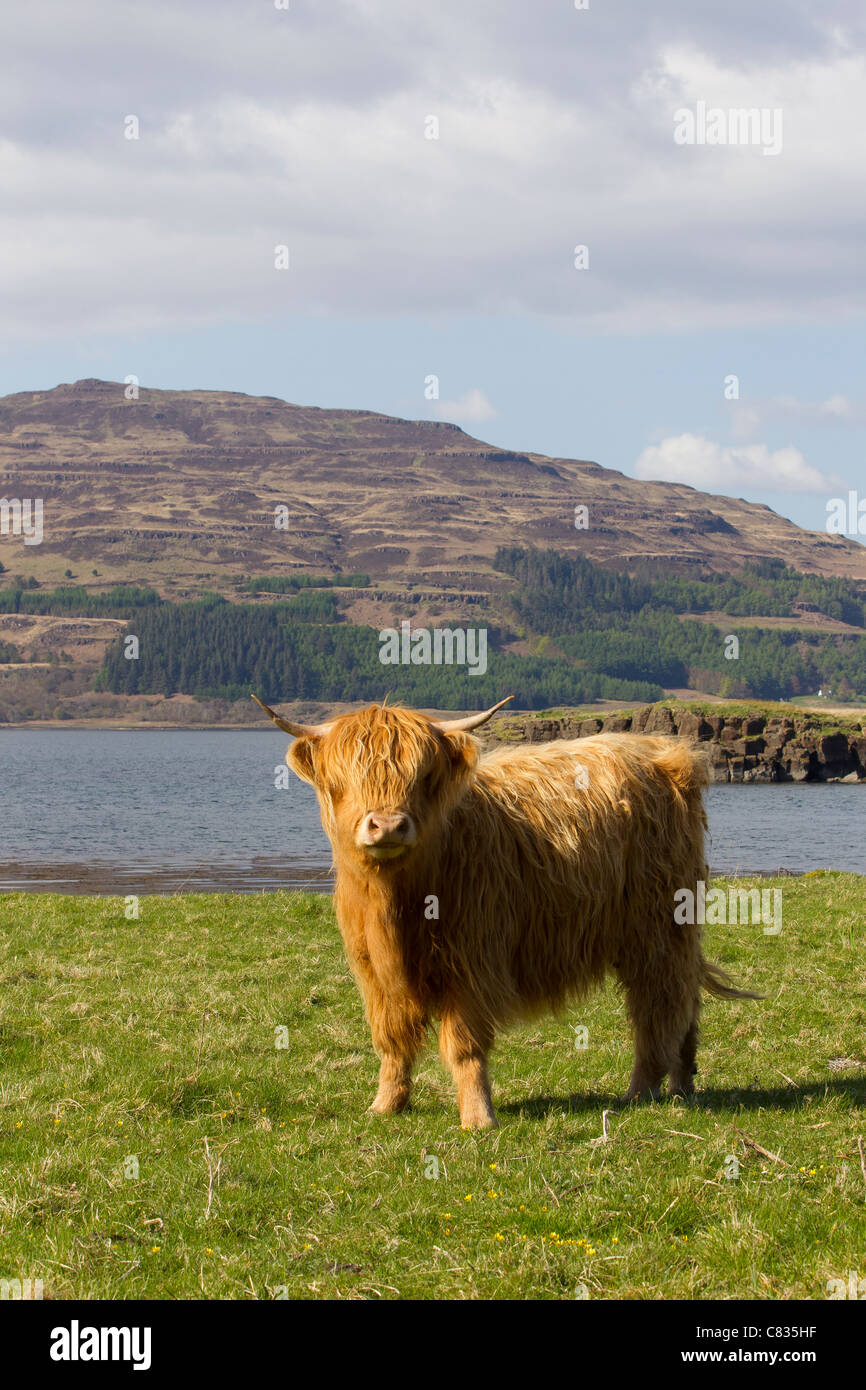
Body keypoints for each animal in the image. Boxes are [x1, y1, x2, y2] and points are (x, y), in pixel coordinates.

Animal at [253, 694, 758, 1129]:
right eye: (344, 778)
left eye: (424, 776)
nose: (389, 825)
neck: (397, 901)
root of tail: (665, 752)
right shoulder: (374, 972)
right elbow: (392, 1041)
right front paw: (385, 1105)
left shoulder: (472, 962)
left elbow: (464, 1045)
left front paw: (478, 1118)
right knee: (685, 1004)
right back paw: (683, 1084)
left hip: (658, 928)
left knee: (659, 1007)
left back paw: (641, 1091)